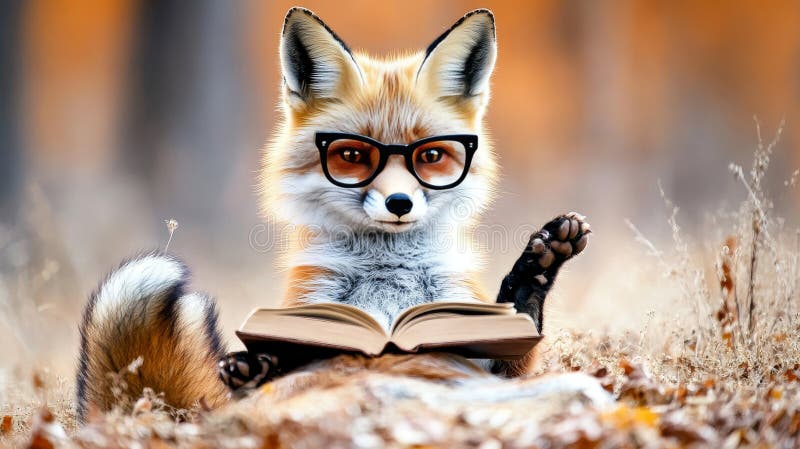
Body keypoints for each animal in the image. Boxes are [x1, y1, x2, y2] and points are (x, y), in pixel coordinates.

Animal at [76, 8, 592, 422]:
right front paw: (258, 367)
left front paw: (540, 262)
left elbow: (515, 336)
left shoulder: (471, 338)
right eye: (352, 156)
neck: (388, 277)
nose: (399, 203)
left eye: (430, 157)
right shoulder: (314, 309)